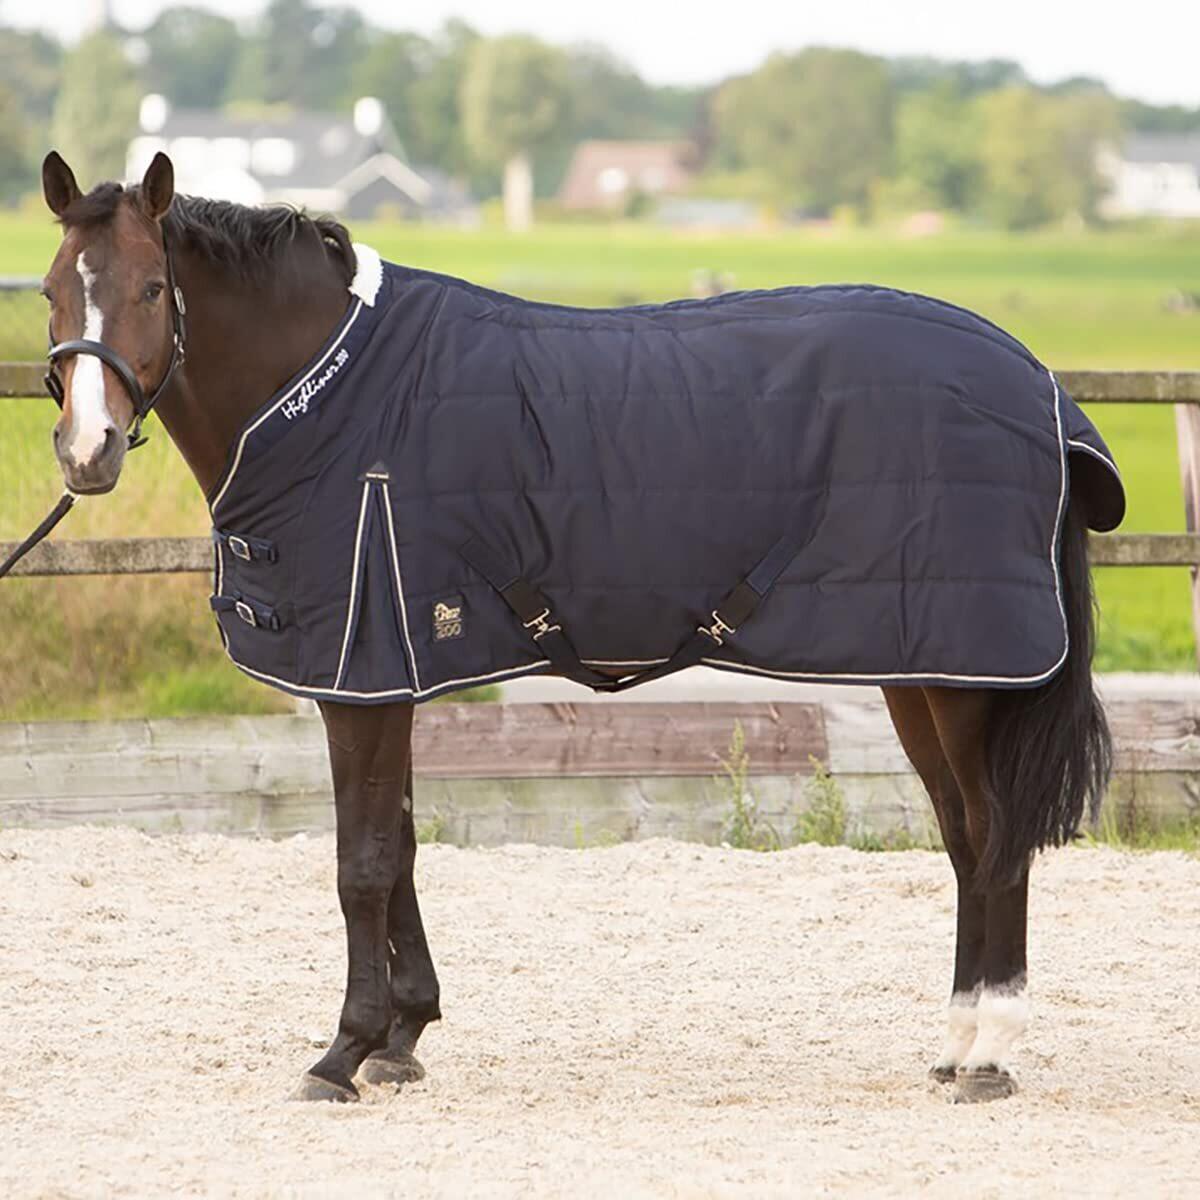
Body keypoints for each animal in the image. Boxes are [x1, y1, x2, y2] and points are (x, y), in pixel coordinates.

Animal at [32, 149, 1123, 1105]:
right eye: (49, 292)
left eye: (151, 290)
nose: (87, 453)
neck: (333, 396)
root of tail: (1037, 383)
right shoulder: (395, 673)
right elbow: (404, 845)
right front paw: (403, 1036)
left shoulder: (365, 676)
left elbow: (363, 864)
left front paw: (344, 1052)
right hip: (921, 669)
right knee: (967, 838)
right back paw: (958, 1046)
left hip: (964, 676)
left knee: (995, 840)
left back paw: (988, 1055)